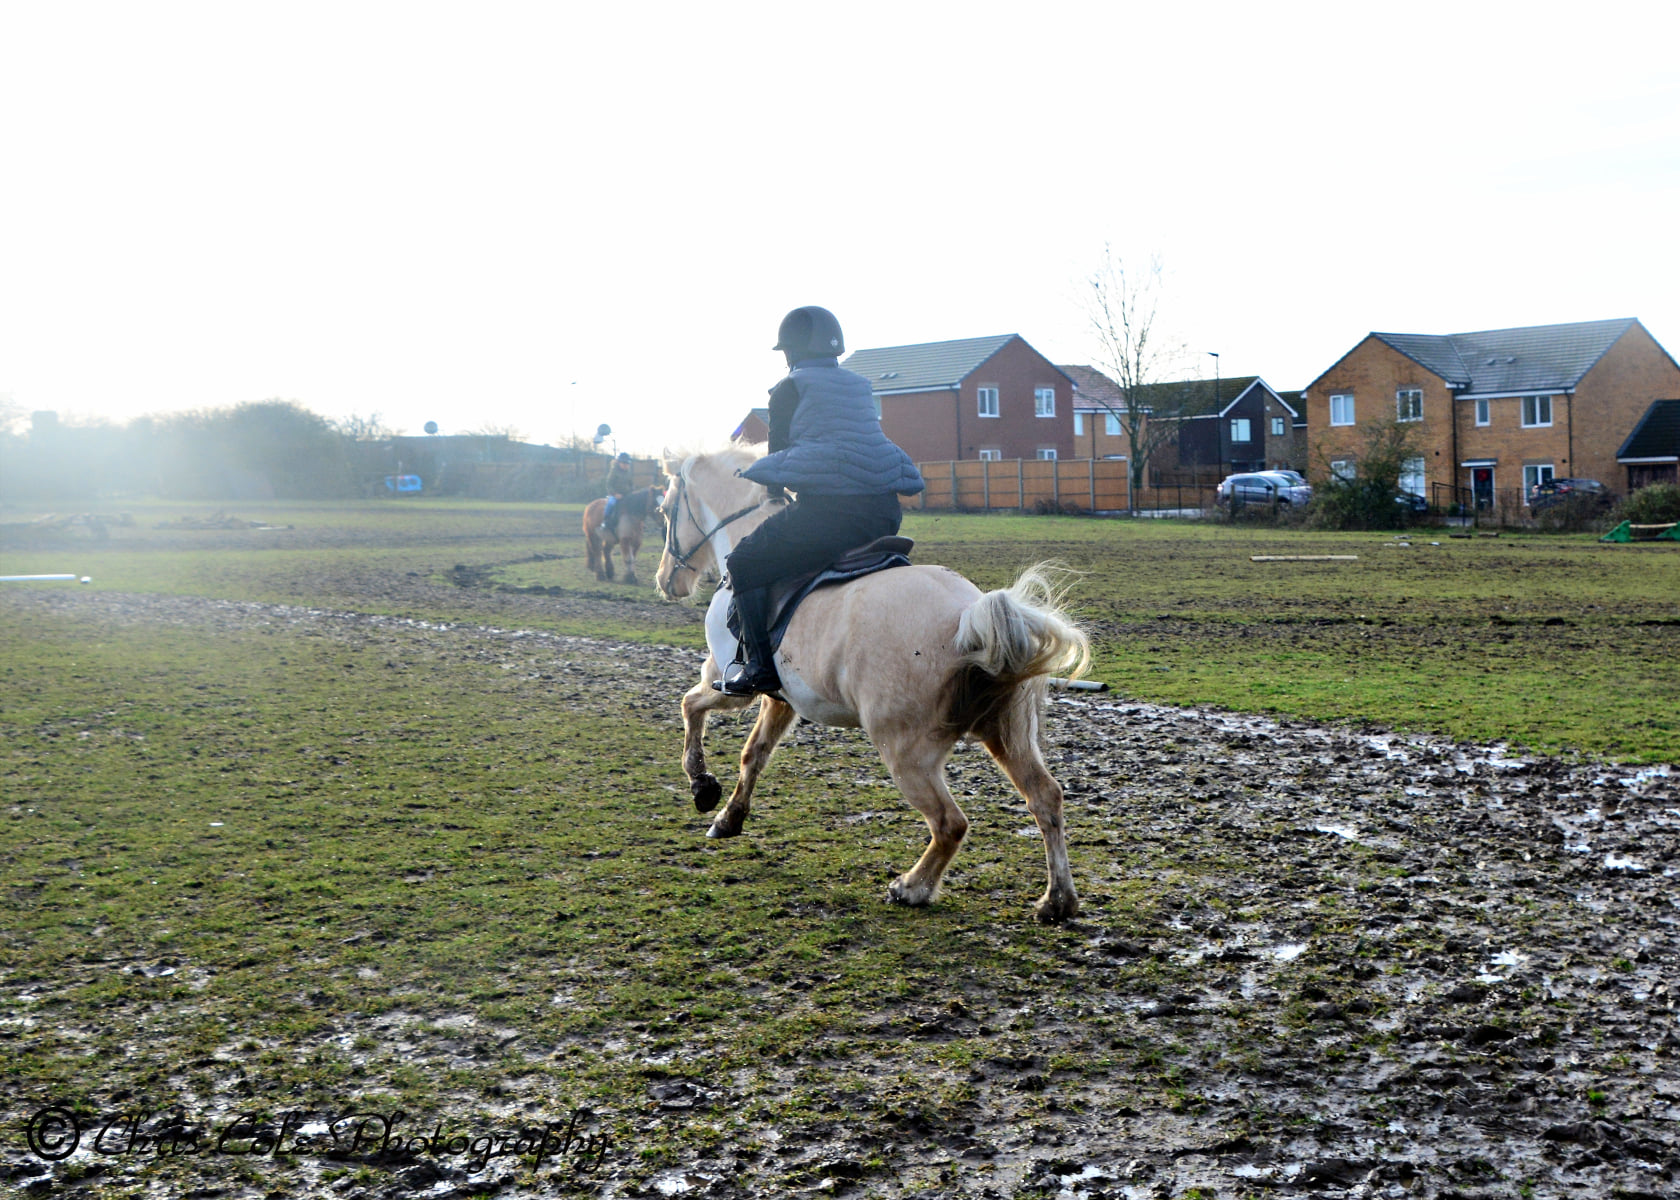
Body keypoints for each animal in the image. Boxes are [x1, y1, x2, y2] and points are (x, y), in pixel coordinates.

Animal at [655, 445, 1091, 922]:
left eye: (664, 510)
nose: (665, 581)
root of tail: (970, 616)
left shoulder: (730, 682)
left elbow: (690, 706)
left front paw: (702, 785)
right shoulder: (781, 698)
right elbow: (754, 755)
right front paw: (729, 817)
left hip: (907, 754)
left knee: (950, 823)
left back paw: (912, 887)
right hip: (1006, 732)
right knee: (1045, 798)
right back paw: (1057, 900)